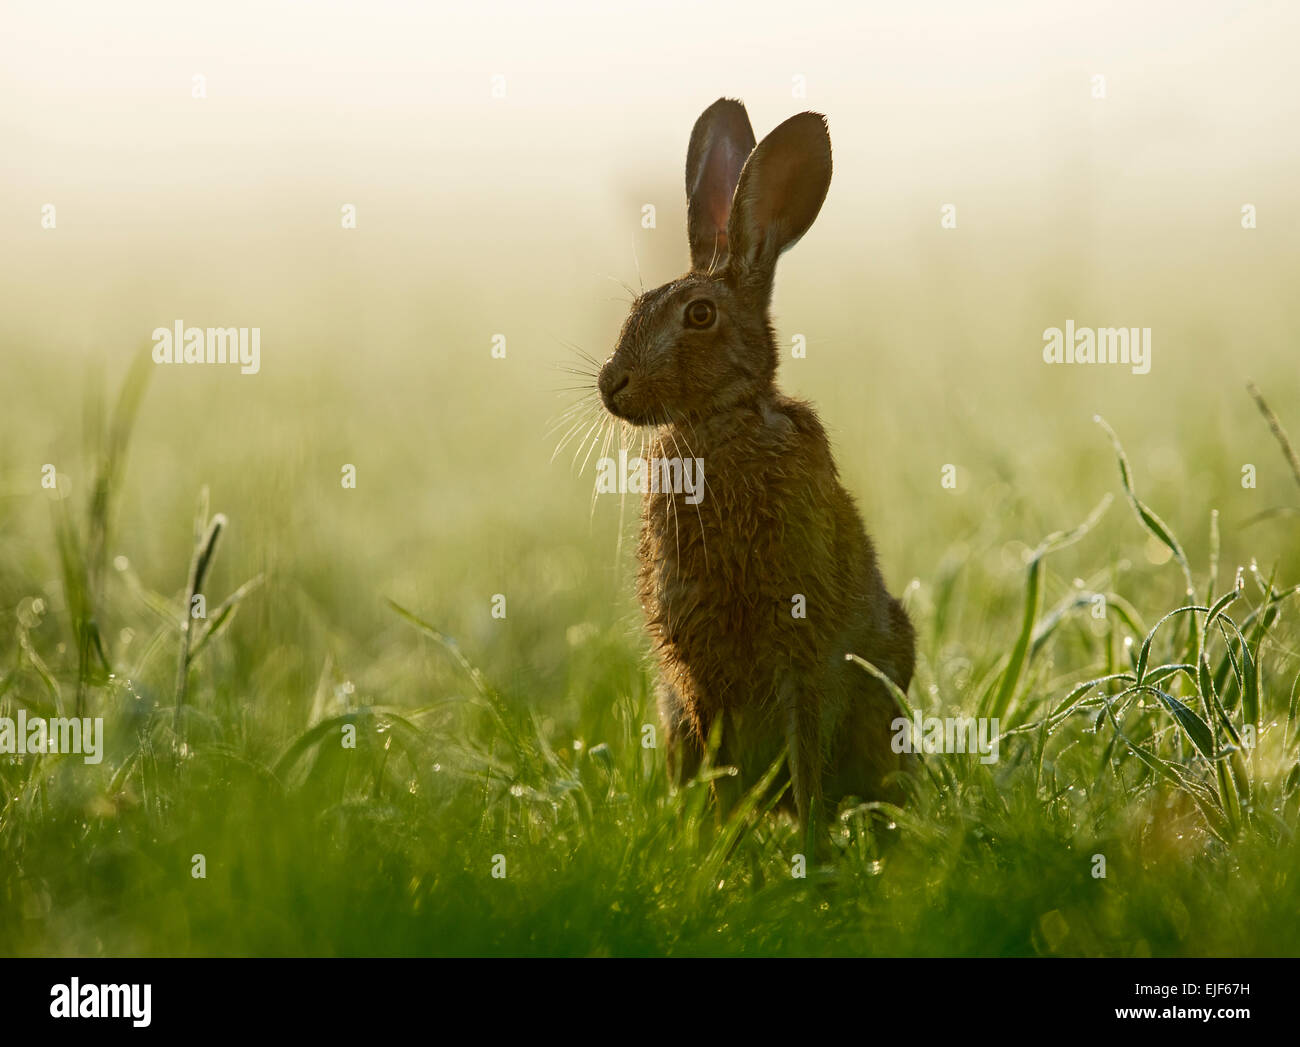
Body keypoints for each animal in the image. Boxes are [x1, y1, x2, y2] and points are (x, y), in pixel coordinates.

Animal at [597, 98, 915, 856]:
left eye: (699, 315)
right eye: (636, 307)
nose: (610, 385)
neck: (718, 423)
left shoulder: (805, 655)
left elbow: (807, 762)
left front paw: (812, 862)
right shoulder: (695, 673)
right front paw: (720, 859)